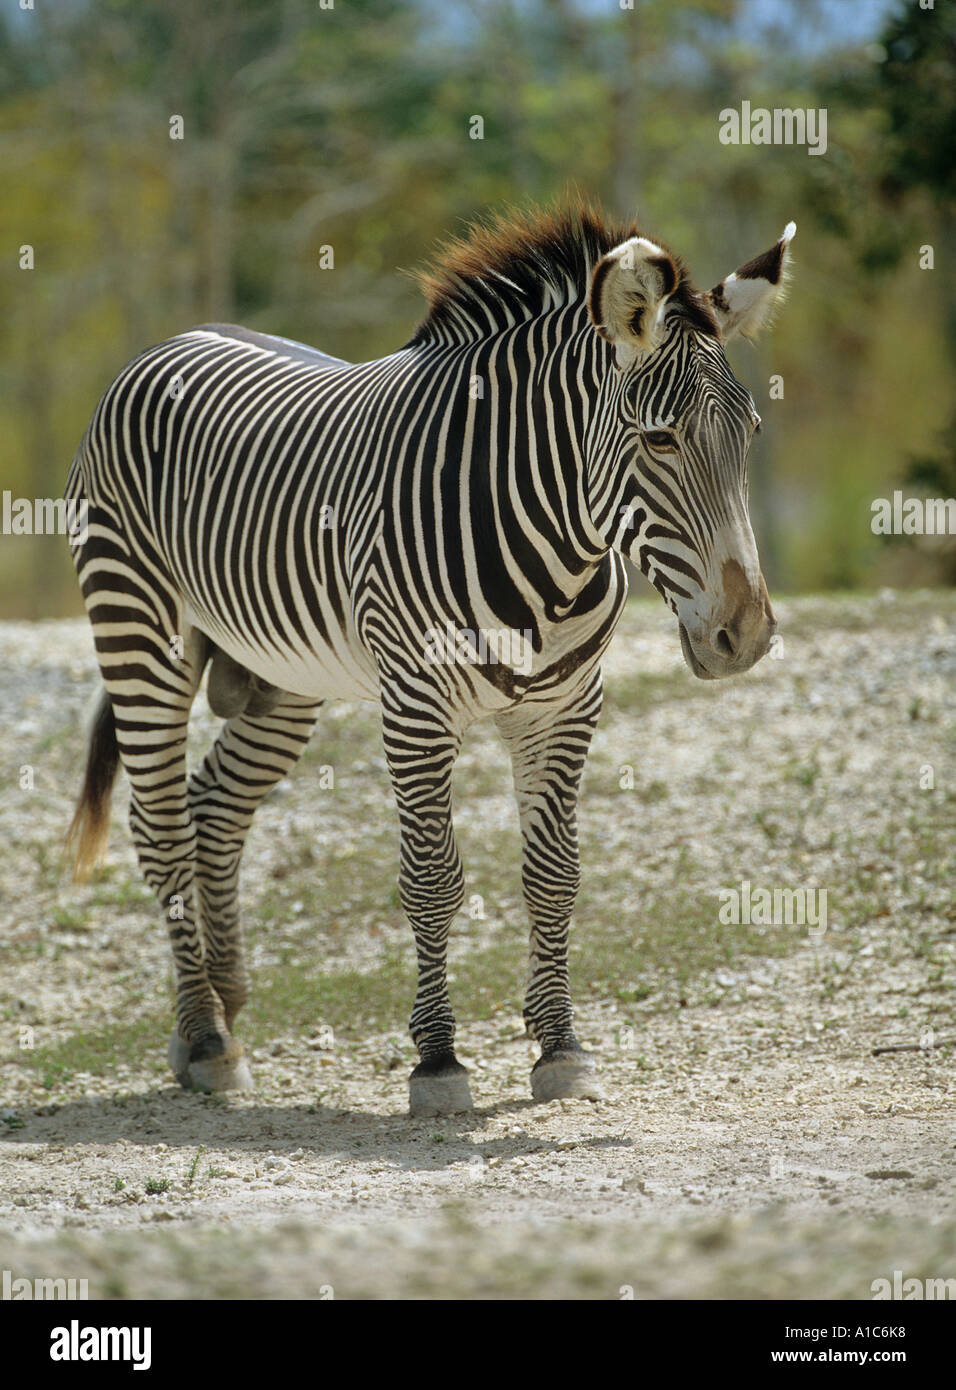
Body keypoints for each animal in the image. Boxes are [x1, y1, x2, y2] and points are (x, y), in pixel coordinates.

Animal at [65, 201, 794, 1117]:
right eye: (660, 440)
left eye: (753, 433)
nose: (748, 636)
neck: (552, 549)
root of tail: (175, 340)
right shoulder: (415, 706)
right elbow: (432, 879)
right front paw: (439, 1061)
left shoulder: (566, 706)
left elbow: (553, 873)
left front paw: (560, 1046)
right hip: (138, 627)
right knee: (161, 823)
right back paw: (204, 1036)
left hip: (282, 676)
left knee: (214, 807)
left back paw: (220, 1005)